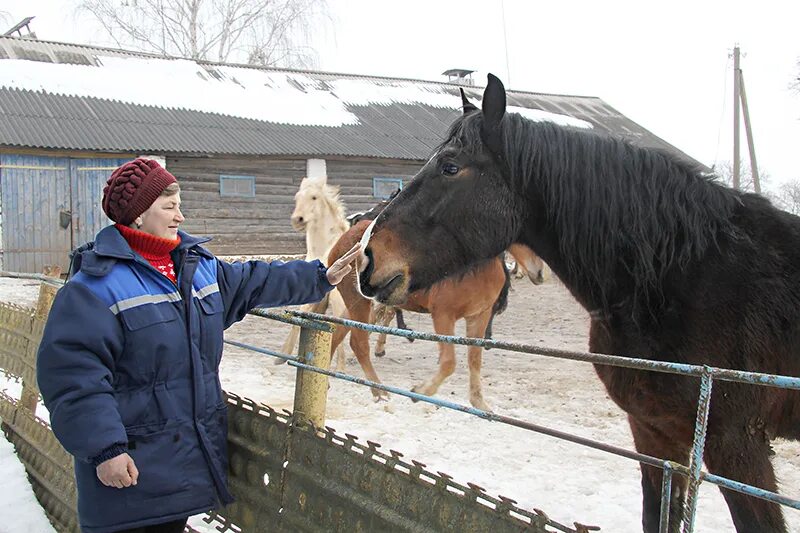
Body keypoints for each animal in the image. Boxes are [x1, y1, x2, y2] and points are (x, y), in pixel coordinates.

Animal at [328, 218, 548, 410]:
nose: (540, 273)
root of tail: (343, 239)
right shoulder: (443, 315)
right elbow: (449, 362)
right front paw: (421, 391)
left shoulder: (479, 317)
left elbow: (474, 360)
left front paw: (479, 404)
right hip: (360, 303)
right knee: (358, 343)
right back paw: (379, 391)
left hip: (355, 304)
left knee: (337, 330)